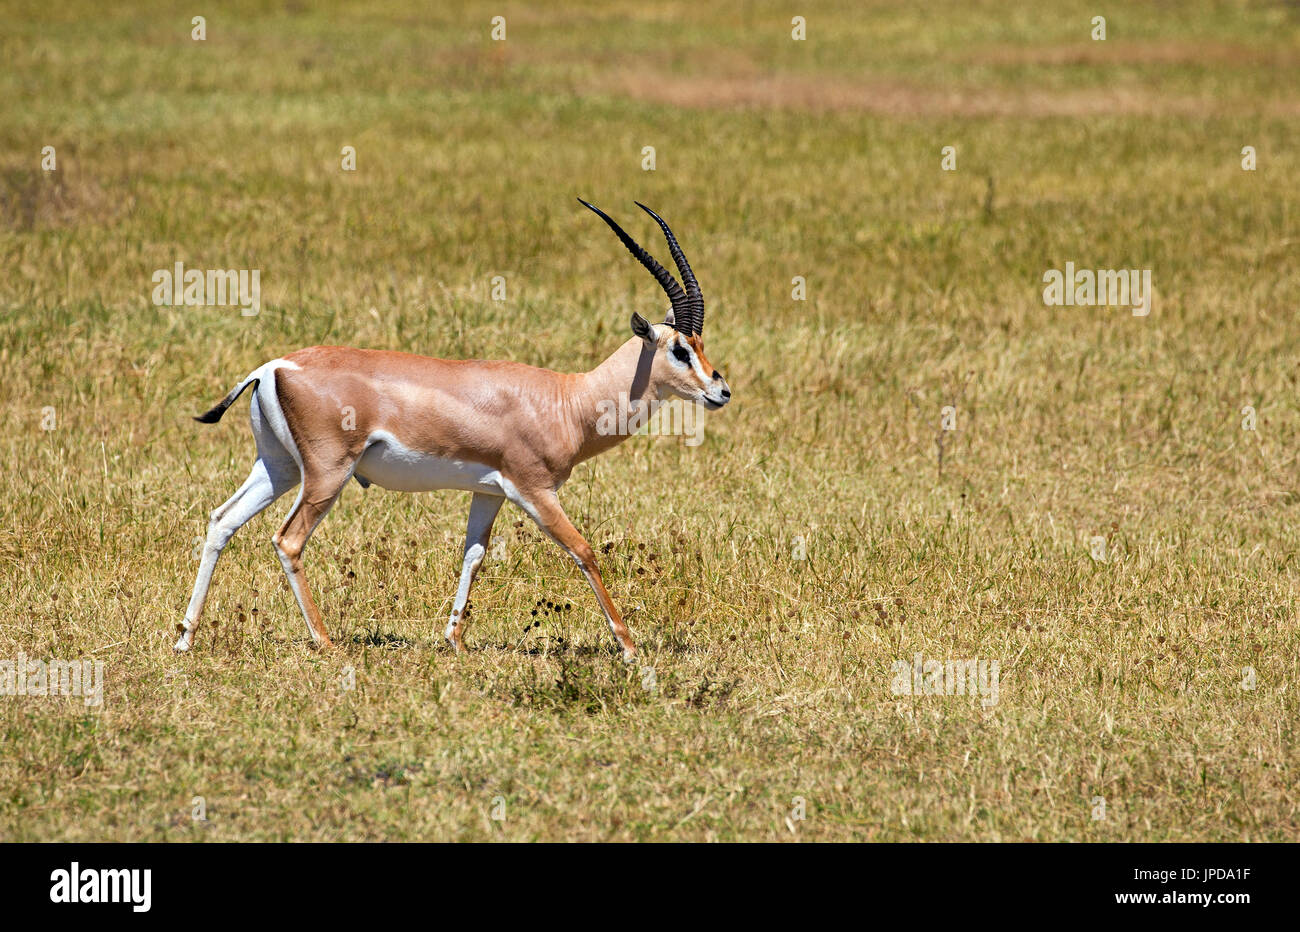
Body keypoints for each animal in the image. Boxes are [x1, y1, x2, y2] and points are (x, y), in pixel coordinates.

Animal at [175, 200, 731, 660]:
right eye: (679, 349)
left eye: (701, 345)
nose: (720, 390)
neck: (565, 400)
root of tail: (274, 366)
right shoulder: (535, 491)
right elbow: (583, 551)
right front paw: (630, 647)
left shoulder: (490, 492)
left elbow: (474, 556)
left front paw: (455, 640)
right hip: (327, 475)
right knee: (288, 541)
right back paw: (326, 641)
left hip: (279, 468)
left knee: (221, 520)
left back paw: (185, 638)